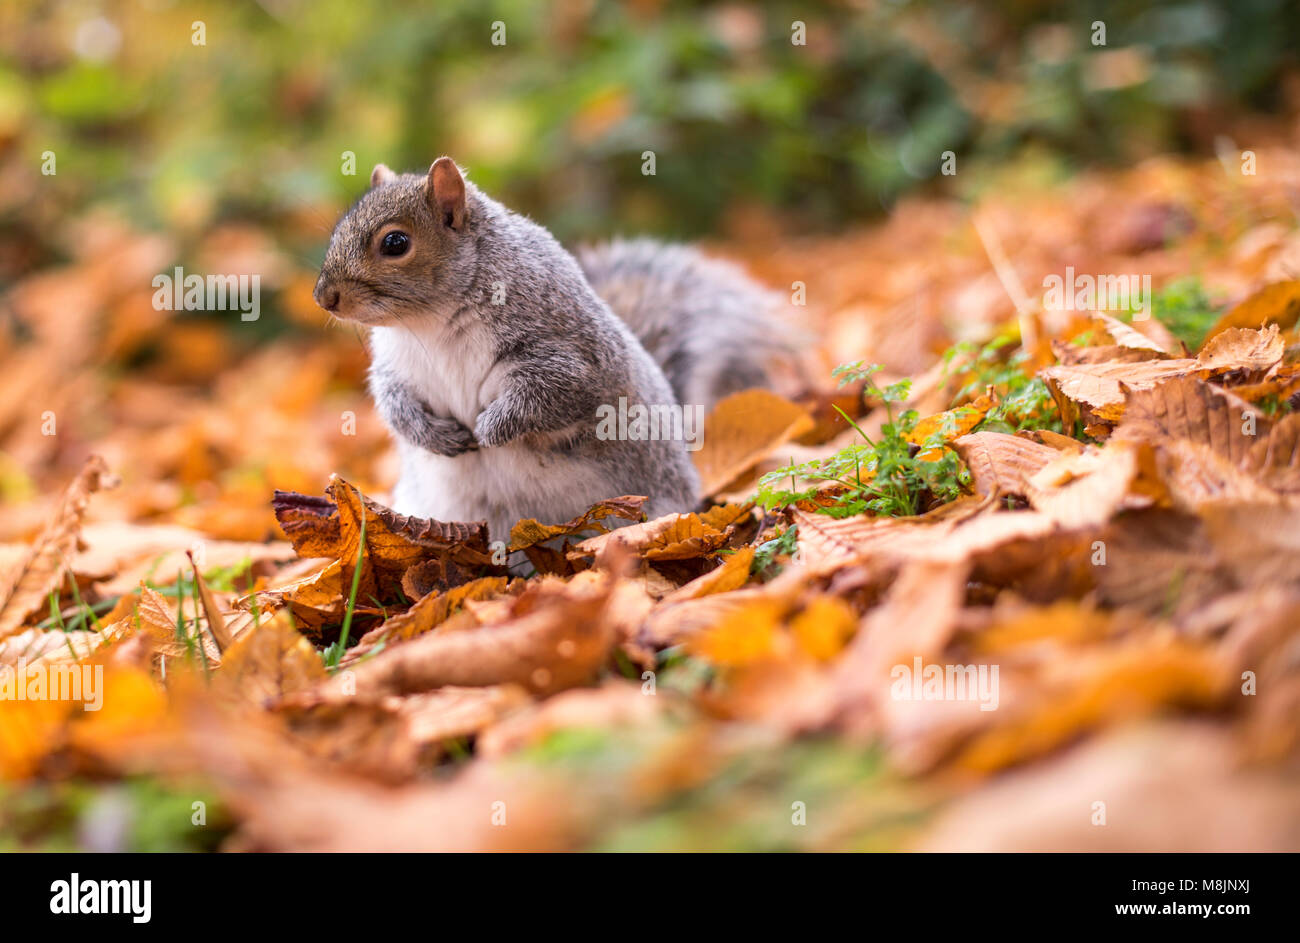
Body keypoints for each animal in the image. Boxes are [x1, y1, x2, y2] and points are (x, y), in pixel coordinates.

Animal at [314, 157, 789, 544]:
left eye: (395, 243)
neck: (428, 324)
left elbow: (552, 393)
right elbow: (394, 403)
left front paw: (490, 430)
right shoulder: (397, 368)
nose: (324, 297)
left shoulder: (565, 350)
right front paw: (435, 435)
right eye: (338, 230)